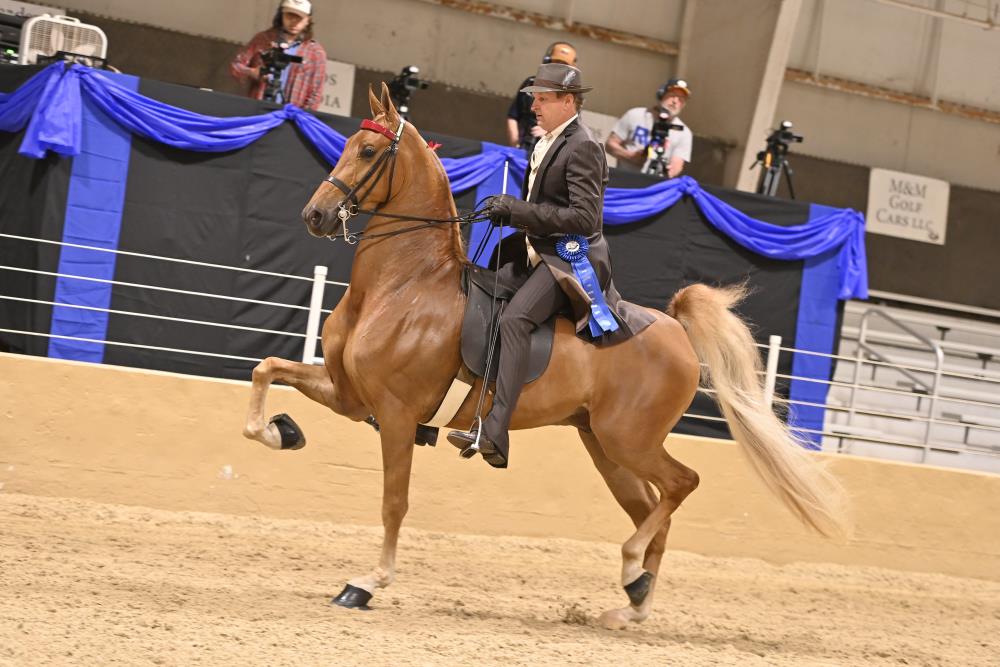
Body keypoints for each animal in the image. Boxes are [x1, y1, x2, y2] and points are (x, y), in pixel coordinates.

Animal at [242, 83, 848, 630]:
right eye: (345, 143)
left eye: (368, 152)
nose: (315, 215)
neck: (403, 286)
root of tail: (676, 327)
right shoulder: (348, 394)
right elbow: (265, 372)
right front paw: (282, 430)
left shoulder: (395, 414)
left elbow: (395, 501)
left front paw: (367, 583)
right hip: (605, 446)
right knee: (653, 508)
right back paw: (633, 601)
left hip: (630, 440)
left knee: (681, 485)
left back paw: (632, 571)